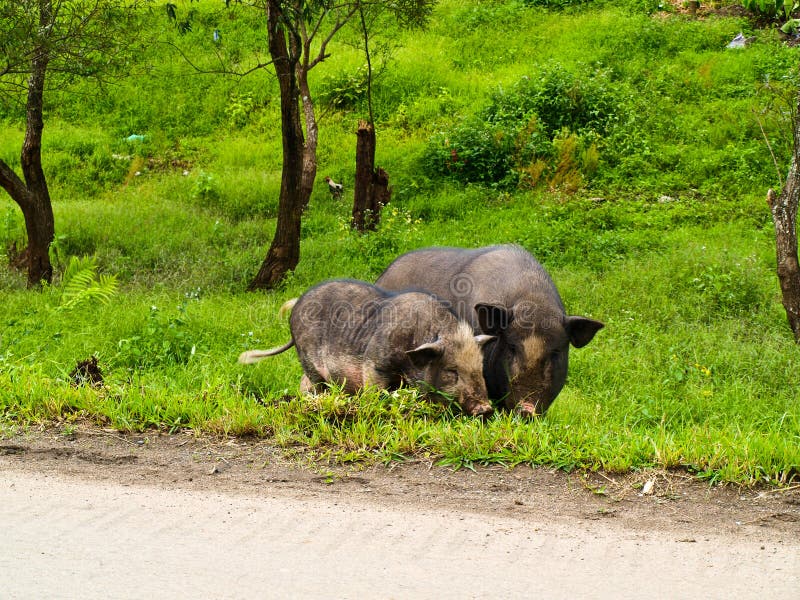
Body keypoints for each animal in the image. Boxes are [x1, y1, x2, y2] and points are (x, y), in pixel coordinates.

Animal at [239, 279, 495, 417]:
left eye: (480, 369)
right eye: (452, 371)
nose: (486, 408)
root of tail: (296, 304)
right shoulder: (375, 364)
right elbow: (376, 390)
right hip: (308, 357)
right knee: (316, 382)